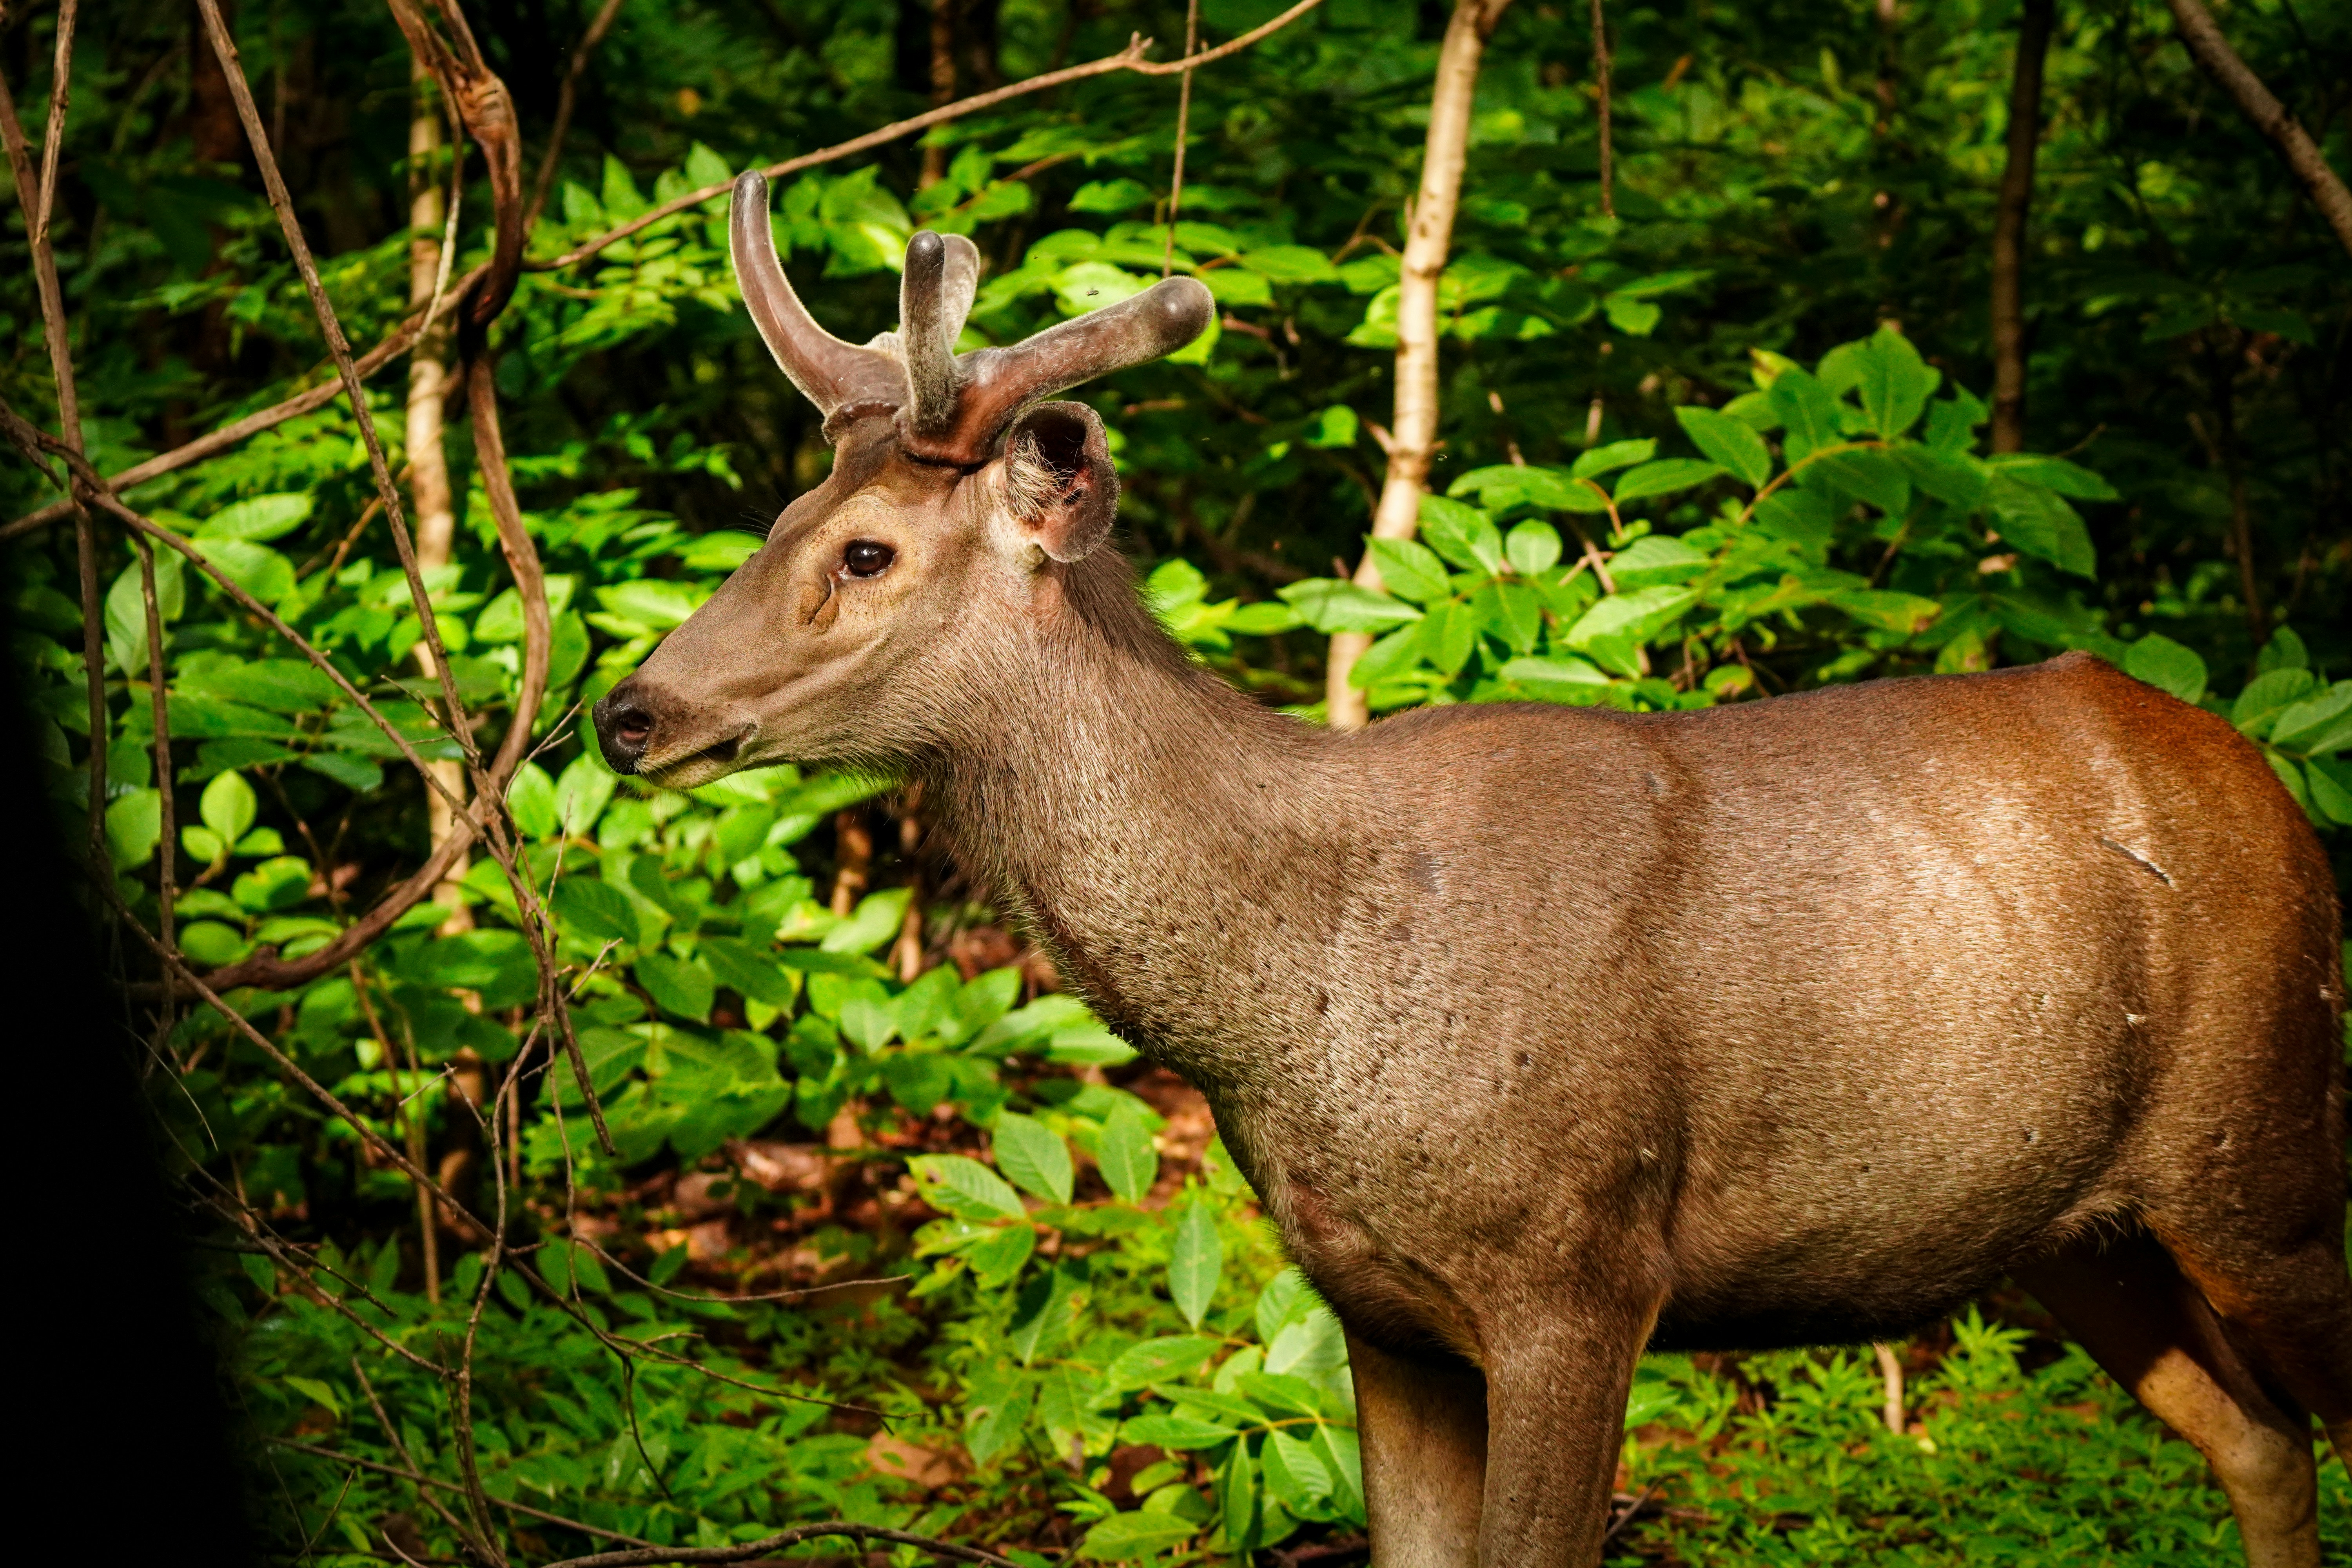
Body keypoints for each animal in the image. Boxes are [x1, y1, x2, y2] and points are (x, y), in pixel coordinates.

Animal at [592, 171, 2352, 1568]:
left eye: (865, 551)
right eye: (783, 513)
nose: (628, 709)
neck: (1295, 1003)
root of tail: (2274, 782)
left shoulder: (1581, 1265)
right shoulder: (1378, 1310)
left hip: (2263, 1148)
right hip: (2076, 1233)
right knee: (2264, 1442)